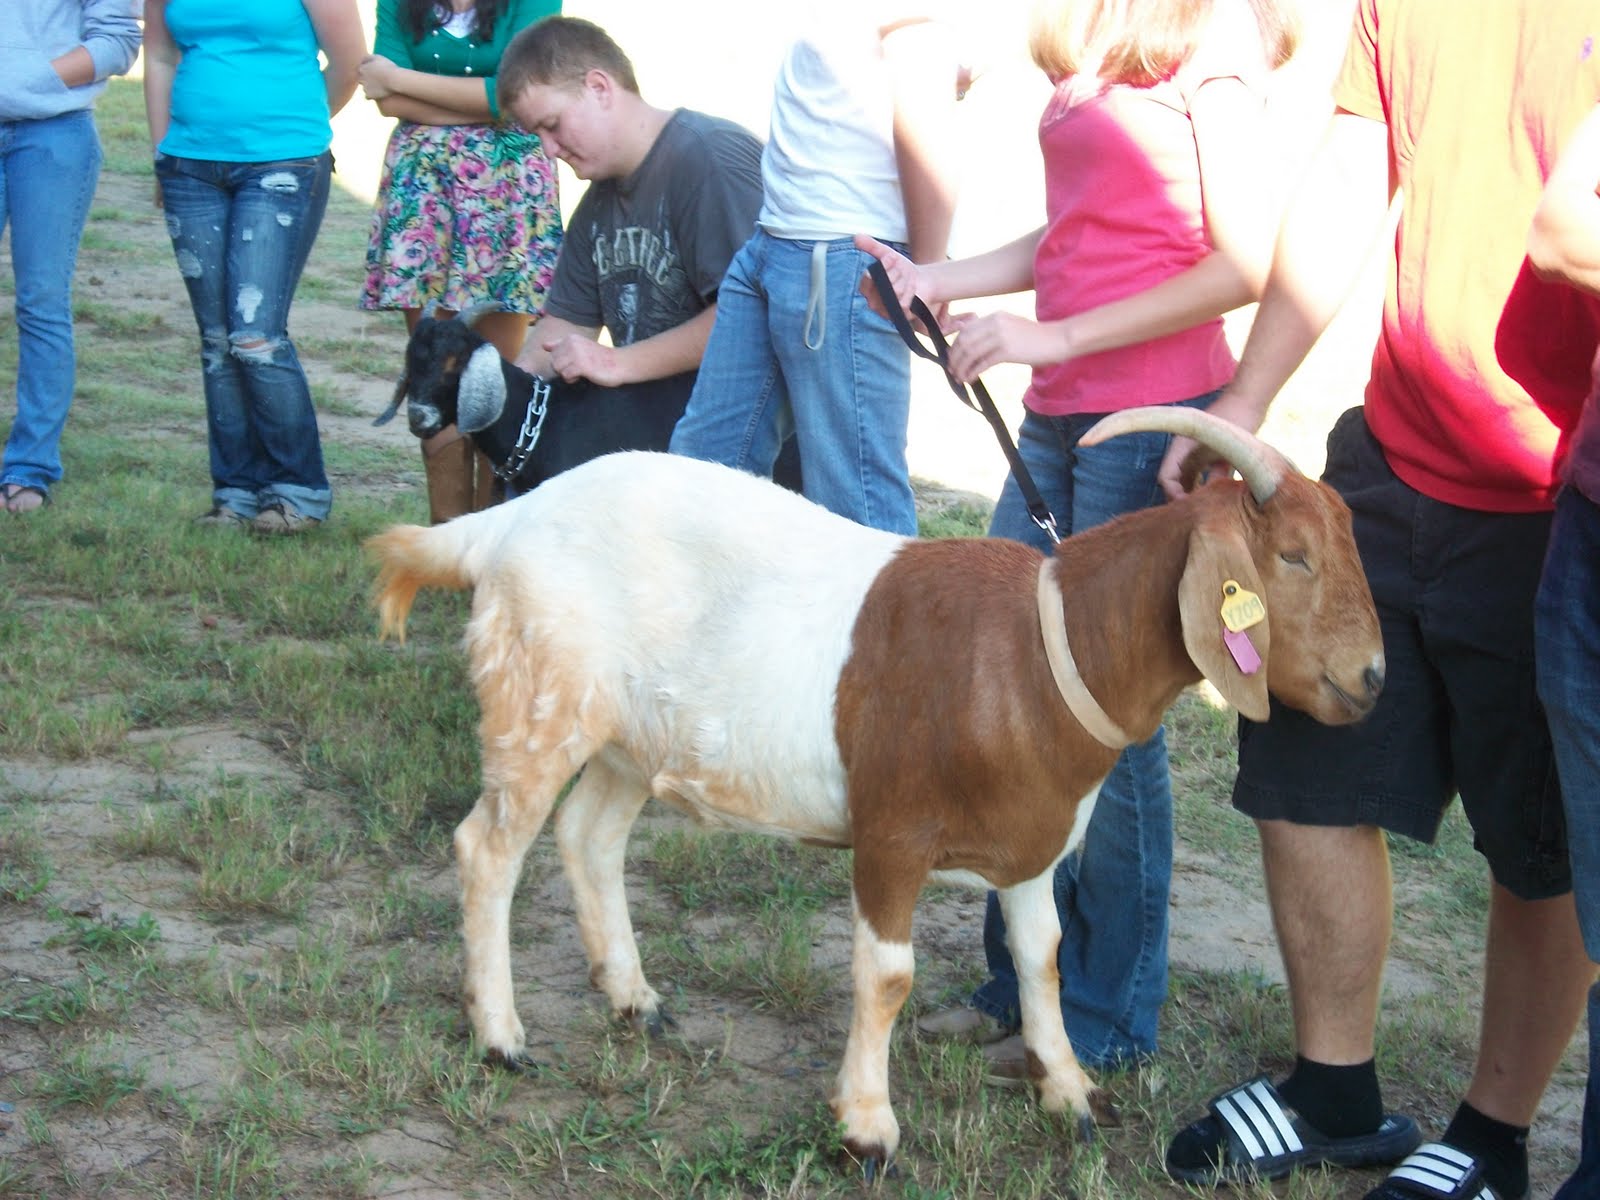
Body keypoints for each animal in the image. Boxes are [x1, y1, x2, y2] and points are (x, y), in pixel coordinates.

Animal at [367, 406, 1384, 1174]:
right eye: (1293, 556)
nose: (1373, 678)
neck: (1039, 650)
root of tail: (506, 522)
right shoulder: (894, 834)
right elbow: (888, 976)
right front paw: (867, 1129)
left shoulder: (1033, 847)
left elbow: (1044, 960)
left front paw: (1069, 1094)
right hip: (540, 704)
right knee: (489, 848)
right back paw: (501, 1035)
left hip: (630, 737)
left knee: (589, 836)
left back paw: (634, 998)